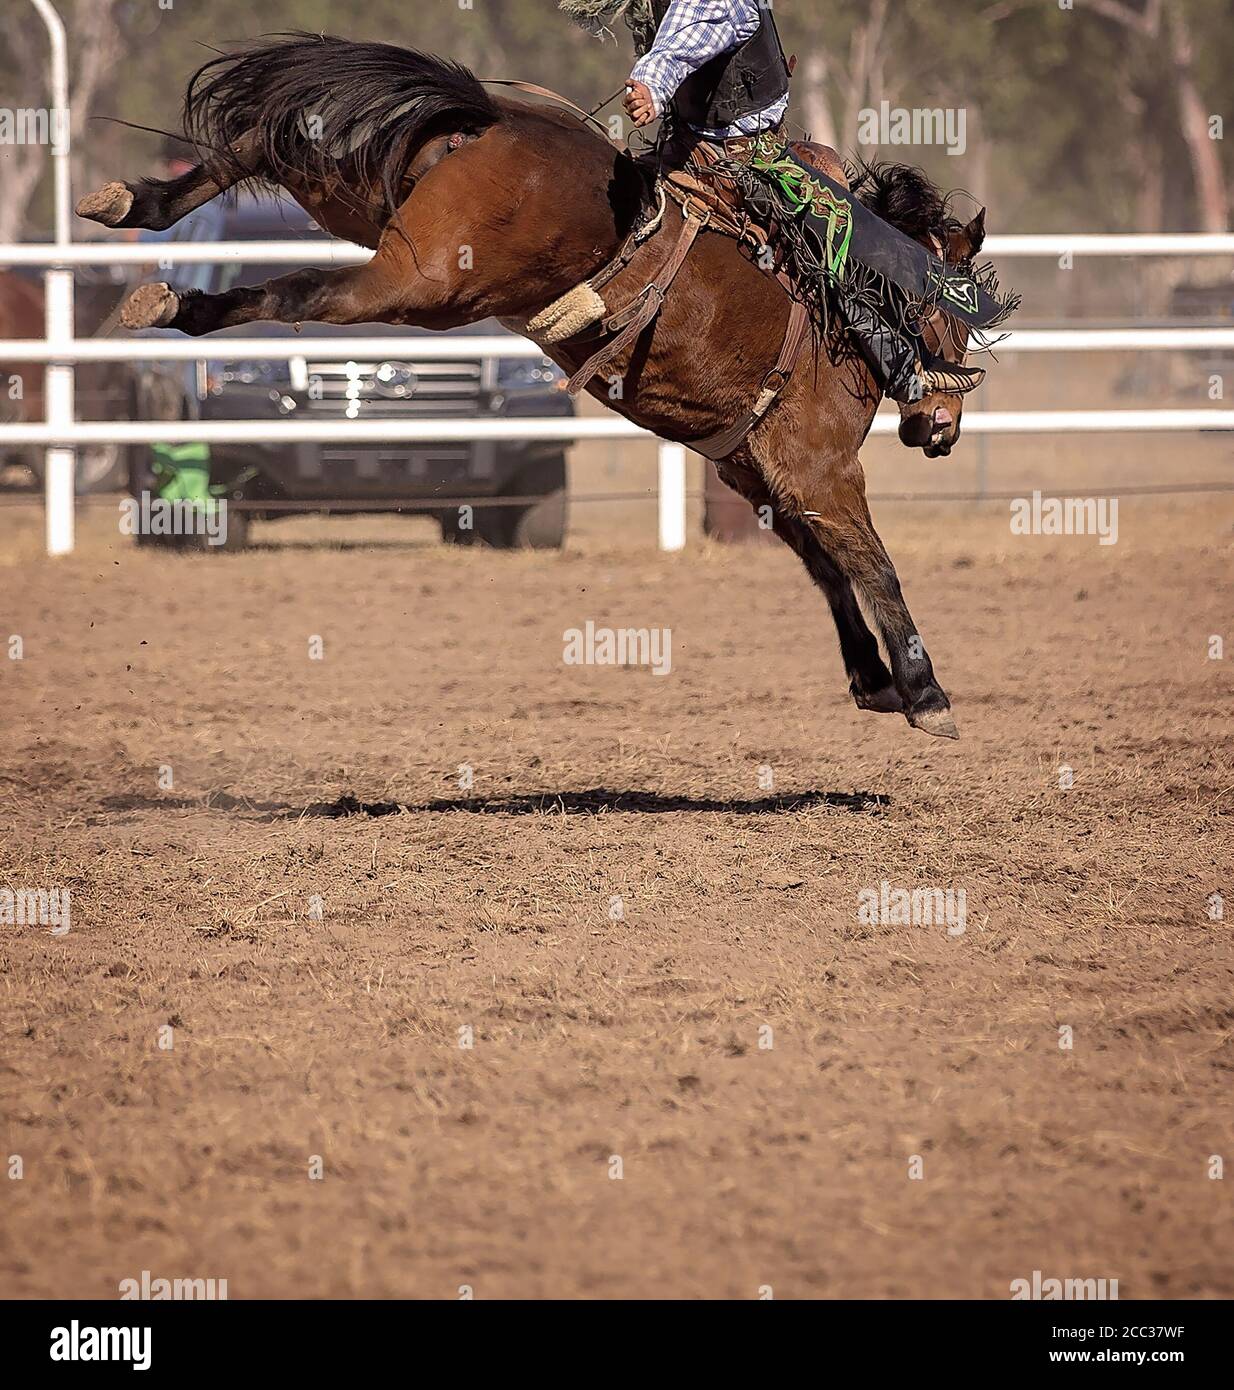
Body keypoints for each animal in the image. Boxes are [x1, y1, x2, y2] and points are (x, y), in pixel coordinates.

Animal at [77, 34, 997, 739]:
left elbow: (828, 572)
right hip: (420, 282)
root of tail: (492, 120)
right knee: (301, 287)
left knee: (273, 146)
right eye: (962, 311)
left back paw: (138, 216)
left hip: (372, 210)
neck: (846, 296)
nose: (941, 426)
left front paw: (873, 680)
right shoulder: (820, 470)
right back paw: (172, 291)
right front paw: (925, 693)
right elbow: (874, 566)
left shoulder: (758, 473)